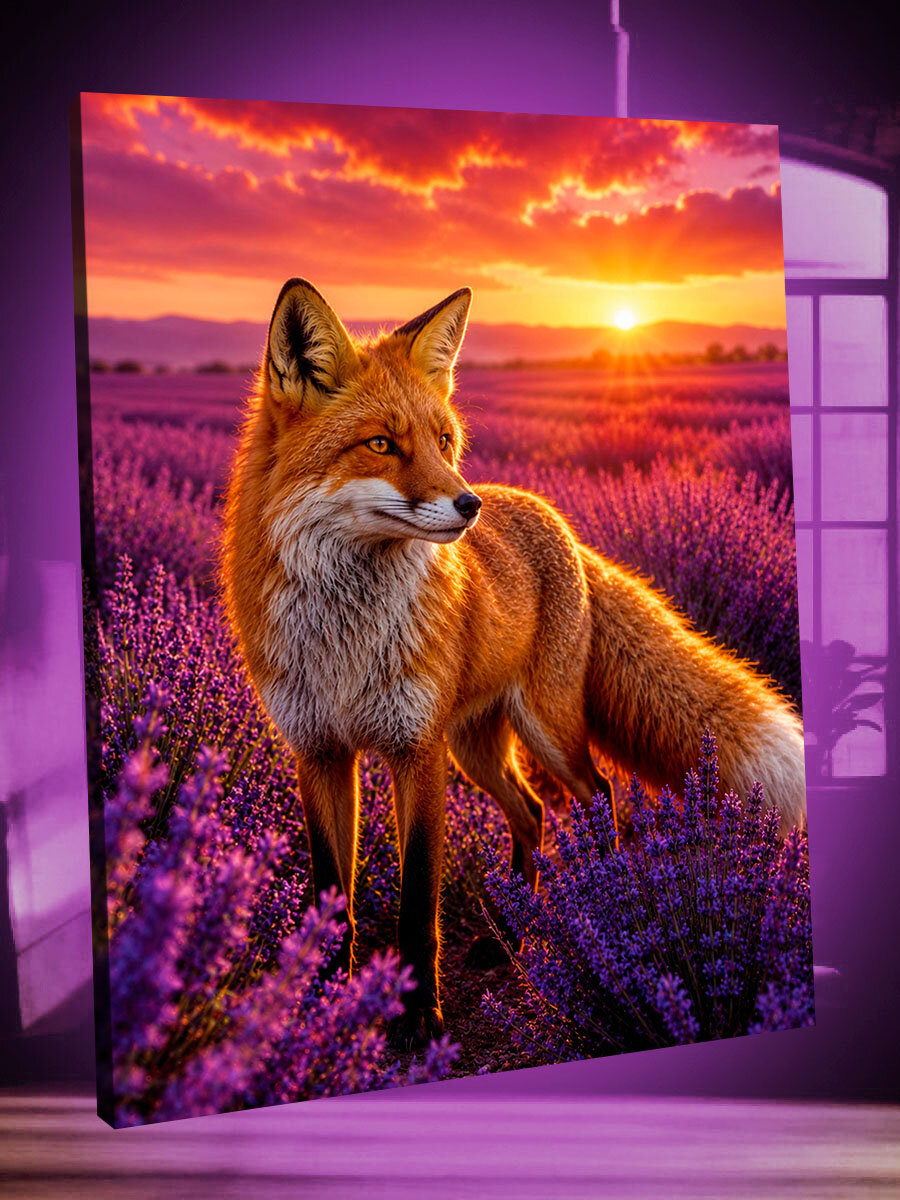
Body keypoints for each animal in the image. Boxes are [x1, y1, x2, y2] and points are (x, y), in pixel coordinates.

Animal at [221, 278, 807, 1047]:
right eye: (381, 445)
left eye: (444, 441)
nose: (467, 504)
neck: (344, 635)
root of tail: (552, 516)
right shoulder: (318, 750)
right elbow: (330, 895)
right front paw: (316, 1005)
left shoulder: (416, 750)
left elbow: (417, 902)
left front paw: (421, 1017)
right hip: (476, 747)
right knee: (529, 813)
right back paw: (514, 931)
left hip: (544, 730)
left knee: (598, 798)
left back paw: (606, 912)